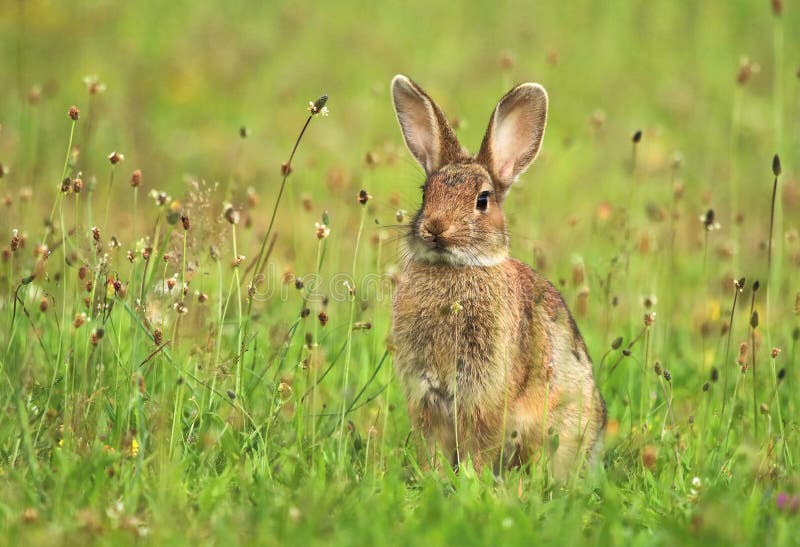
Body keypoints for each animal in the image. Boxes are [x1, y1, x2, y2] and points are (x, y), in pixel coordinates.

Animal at [389, 75, 606, 480]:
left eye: (483, 200)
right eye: (426, 193)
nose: (435, 228)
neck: (456, 269)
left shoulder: (485, 395)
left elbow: (480, 444)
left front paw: (468, 481)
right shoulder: (426, 398)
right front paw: (434, 477)